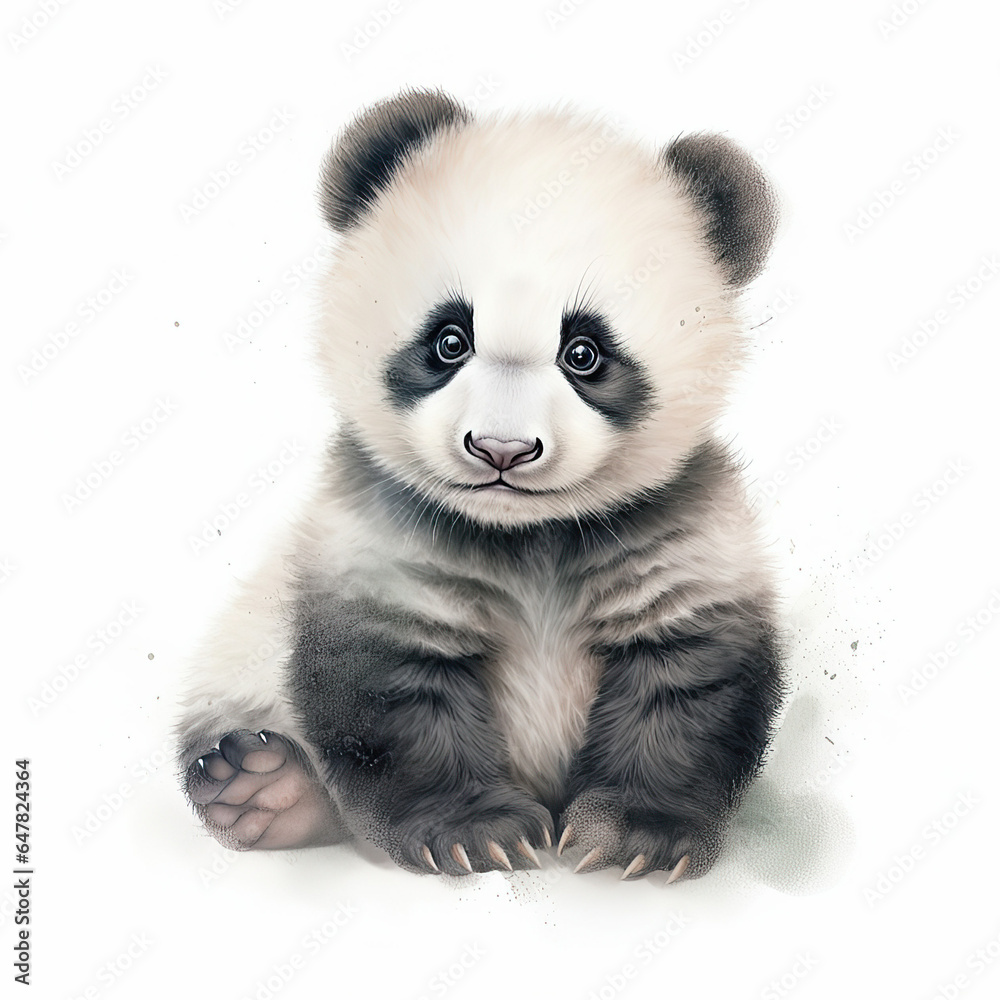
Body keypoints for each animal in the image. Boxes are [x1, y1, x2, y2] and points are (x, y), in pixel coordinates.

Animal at [176, 89, 784, 882]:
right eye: (449, 340)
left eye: (583, 353)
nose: (502, 450)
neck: (527, 536)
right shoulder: (378, 545)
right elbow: (394, 694)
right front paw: (473, 831)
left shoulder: (682, 535)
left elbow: (686, 684)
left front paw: (635, 835)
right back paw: (261, 790)